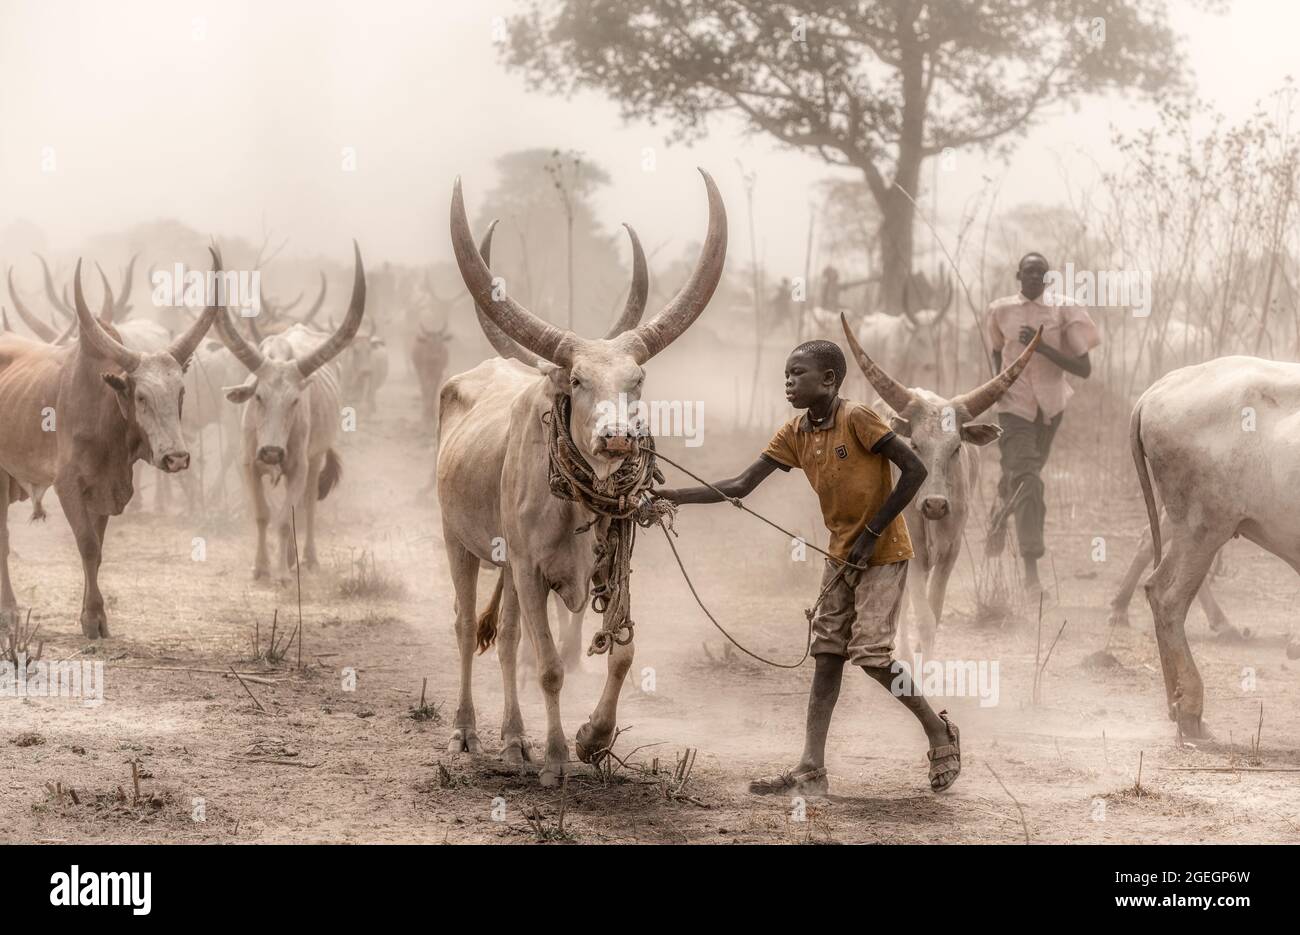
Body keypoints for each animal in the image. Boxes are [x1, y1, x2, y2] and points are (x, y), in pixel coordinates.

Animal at [0, 256, 218, 636]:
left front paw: (94, 616)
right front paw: (92, 618)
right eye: (141, 396)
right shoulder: (69, 485)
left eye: (180, 392)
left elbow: (98, 551)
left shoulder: (102, 488)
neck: (106, 413)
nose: (176, 458)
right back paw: (10, 612)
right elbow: (86, 545)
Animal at [213, 243, 365, 582]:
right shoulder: (248, 465)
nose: (271, 452)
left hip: (315, 458)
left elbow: (284, 519)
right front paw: (260, 567)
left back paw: (306, 558)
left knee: (306, 506)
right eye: (258, 396)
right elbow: (262, 515)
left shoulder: (298, 466)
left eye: (295, 401)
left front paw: (282, 574)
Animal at [437, 170, 725, 785]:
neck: (575, 503)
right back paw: (467, 732)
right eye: (577, 380)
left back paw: (513, 740)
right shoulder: (530, 571)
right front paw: (554, 758)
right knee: (466, 626)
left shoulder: (609, 570)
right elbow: (548, 667)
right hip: (459, 543)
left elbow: (622, 653)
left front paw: (593, 737)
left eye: (637, 378)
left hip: (506, 566)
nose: (616, 437)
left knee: (506, 640)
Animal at [840, 314, 1040, 658]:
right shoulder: (914, 552)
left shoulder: (950, 551)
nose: (934, 504)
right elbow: (920, 616)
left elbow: (933, 615)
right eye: (915, 445)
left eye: (956, 447)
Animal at [1130, 355, 1300, 737]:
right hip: (1203, 528)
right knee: (1168, 598)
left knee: (1155, 587)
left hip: (1191, 530)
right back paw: (1191, 710)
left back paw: (1176, 703)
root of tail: (1156, 390)